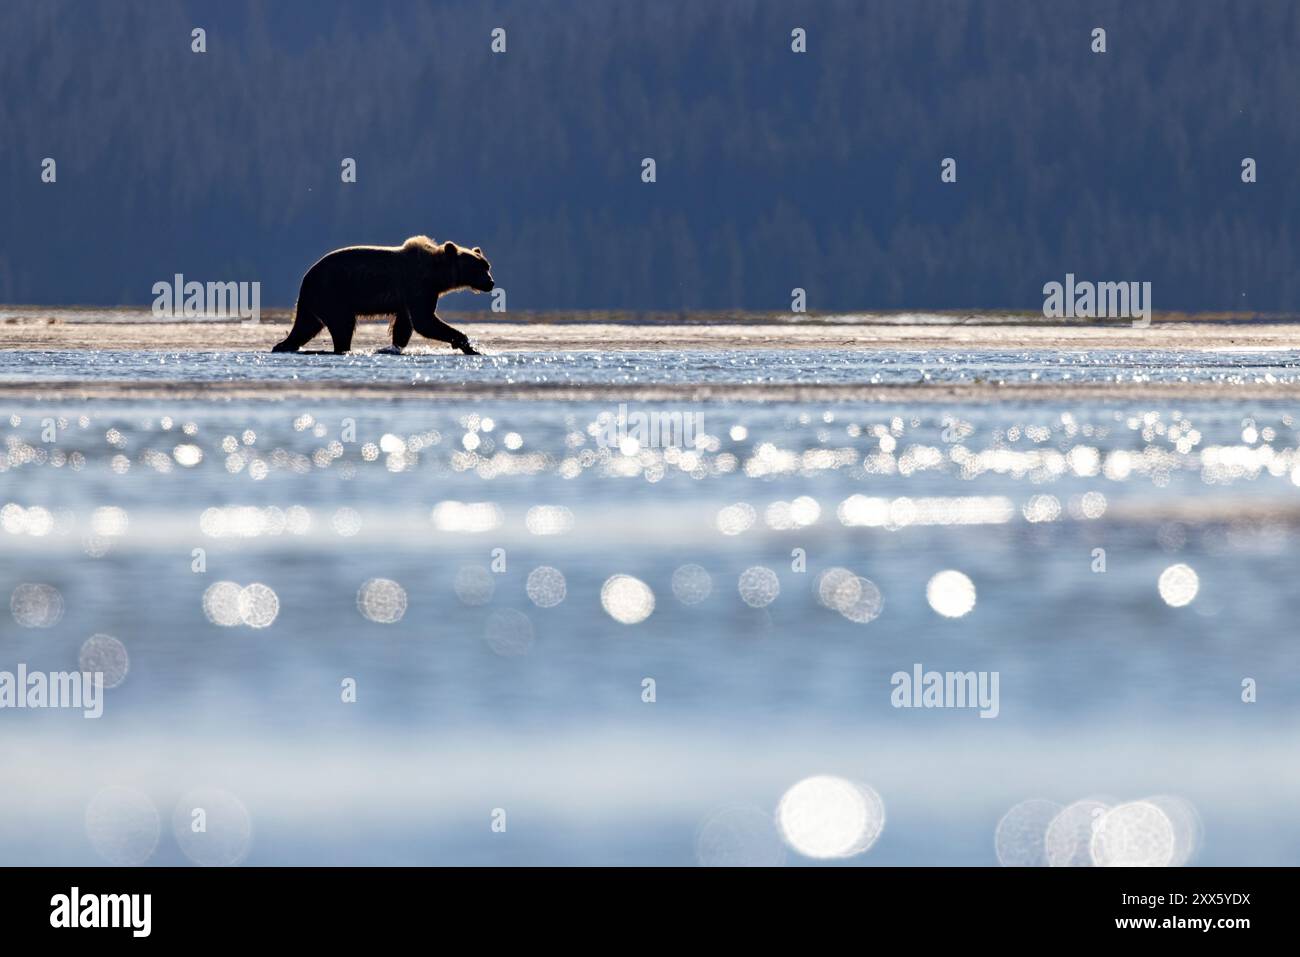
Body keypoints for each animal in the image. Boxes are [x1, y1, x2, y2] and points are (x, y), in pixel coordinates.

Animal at [271, 236, 494, 355]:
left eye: (487, 265)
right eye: (478, 267)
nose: (491, 283)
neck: (436, 275)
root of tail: (306, 277)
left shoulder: (408, 298)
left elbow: (405, 325)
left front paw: (394, 346)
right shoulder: (418, 287)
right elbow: (425, 321)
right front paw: (467, 345)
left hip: (314, 302)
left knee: (305, 326)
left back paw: (283, 345)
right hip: (333, 293)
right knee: (342, 325)